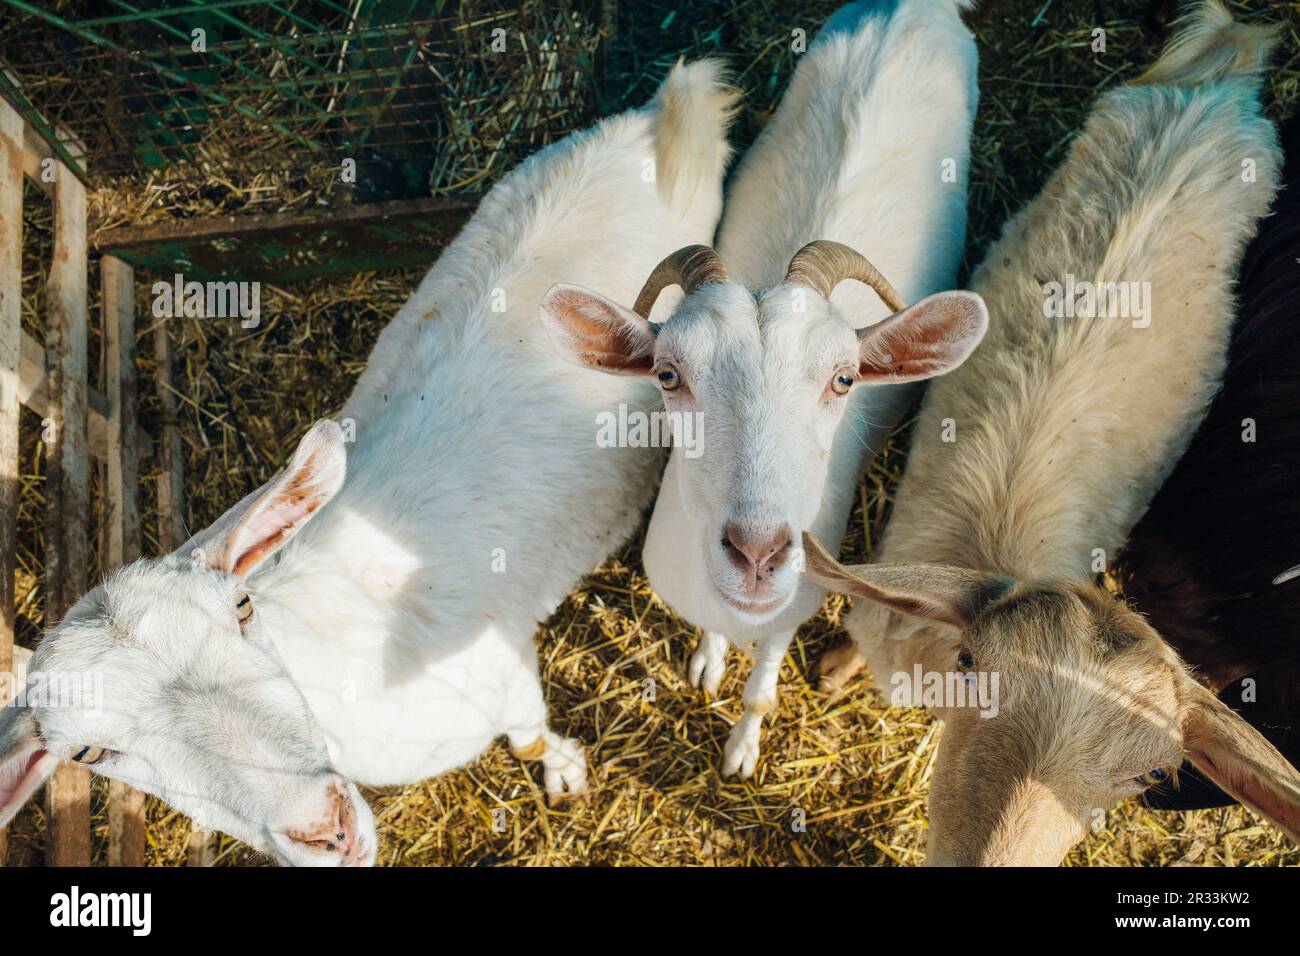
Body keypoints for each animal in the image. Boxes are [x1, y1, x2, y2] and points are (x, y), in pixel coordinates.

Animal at [0, 61, 735, 866]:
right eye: (87, 755)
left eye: (242, 608)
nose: (328, 830)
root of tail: (655, 117)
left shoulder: (501, 671)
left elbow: (530, 729)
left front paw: (564, 769)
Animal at [540, 0, 984, 778]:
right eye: (668, 374)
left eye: (844, 377)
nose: (757, 557)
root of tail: (913, 9)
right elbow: (711, 639)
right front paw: (707, 664)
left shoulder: (791, 615)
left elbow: (761, 691)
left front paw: (741, 752)